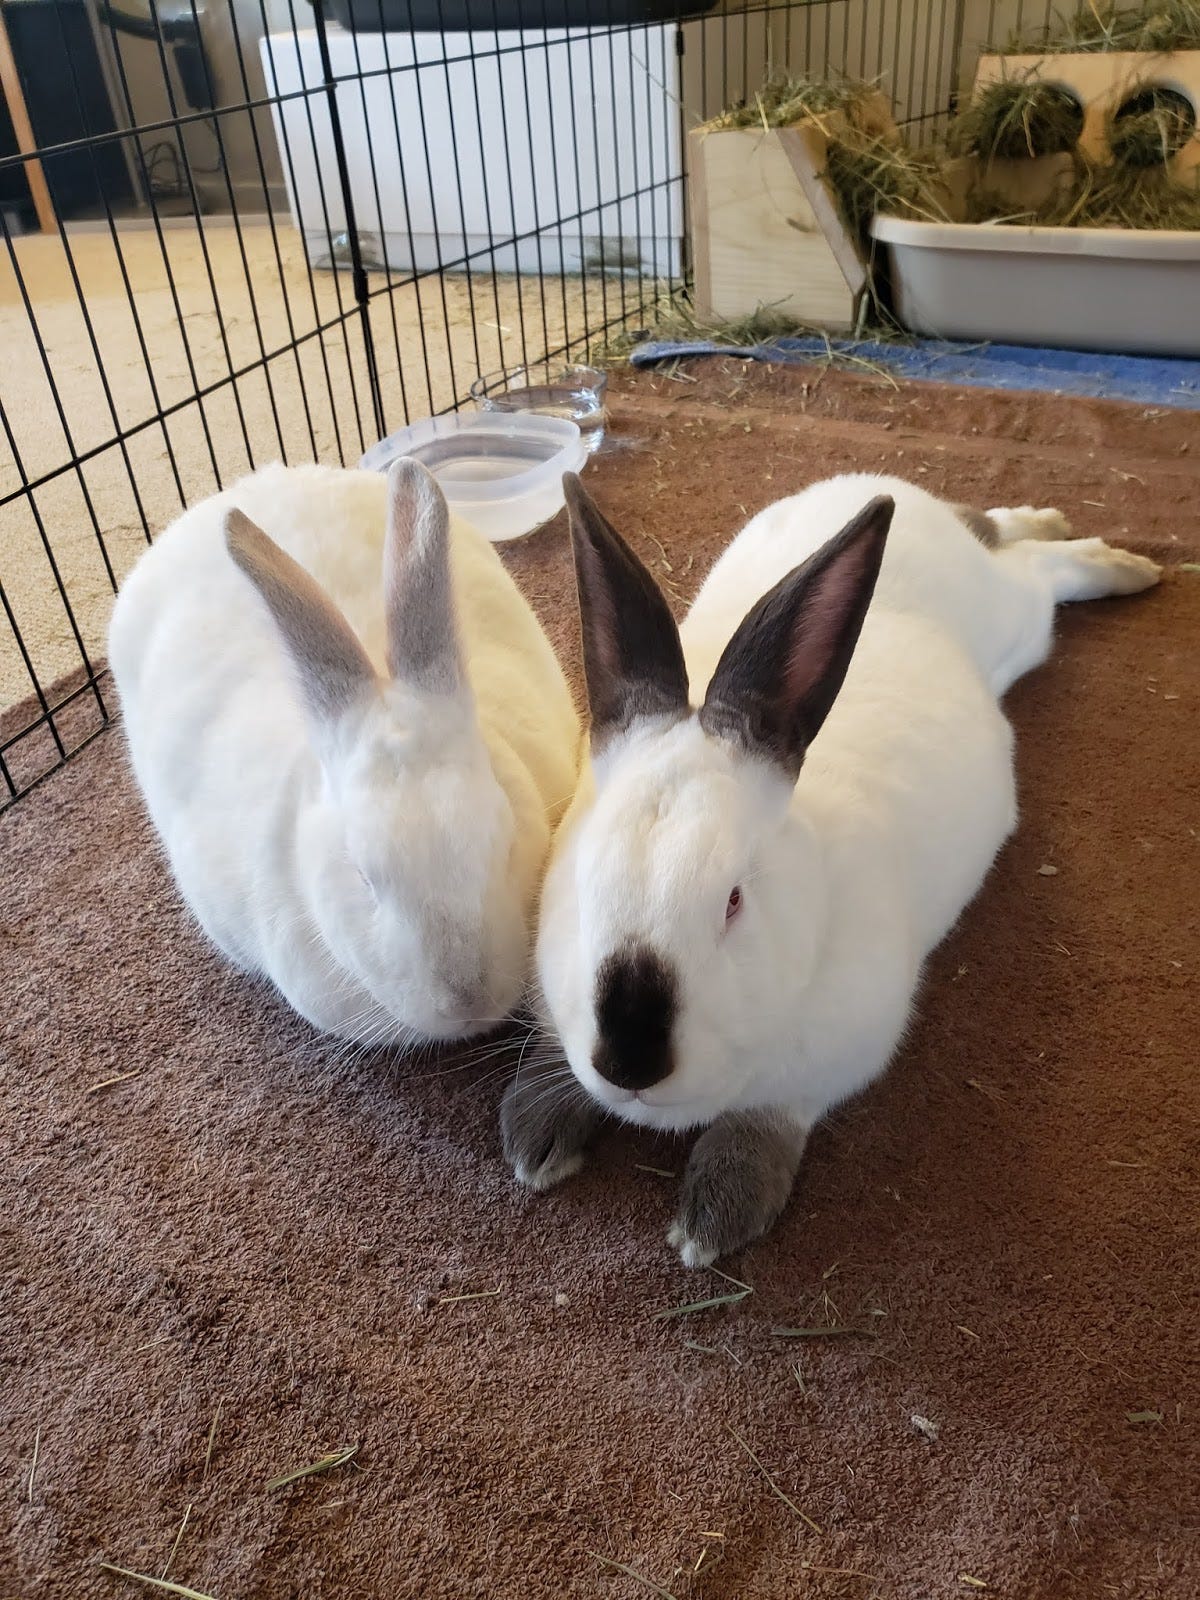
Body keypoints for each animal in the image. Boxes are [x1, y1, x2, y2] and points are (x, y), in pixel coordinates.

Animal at [501, 471, 1160, 1265]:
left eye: (733, 901)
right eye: (579, 880)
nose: (630, 1060)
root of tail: (894, 490)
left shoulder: (836, 1056)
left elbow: (767, 1119)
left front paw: (716, 1216)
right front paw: (535, 1133)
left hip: (1017, 624)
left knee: (1040, 576)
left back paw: (1121, 564)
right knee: (995, 528)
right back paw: (1043, 519)